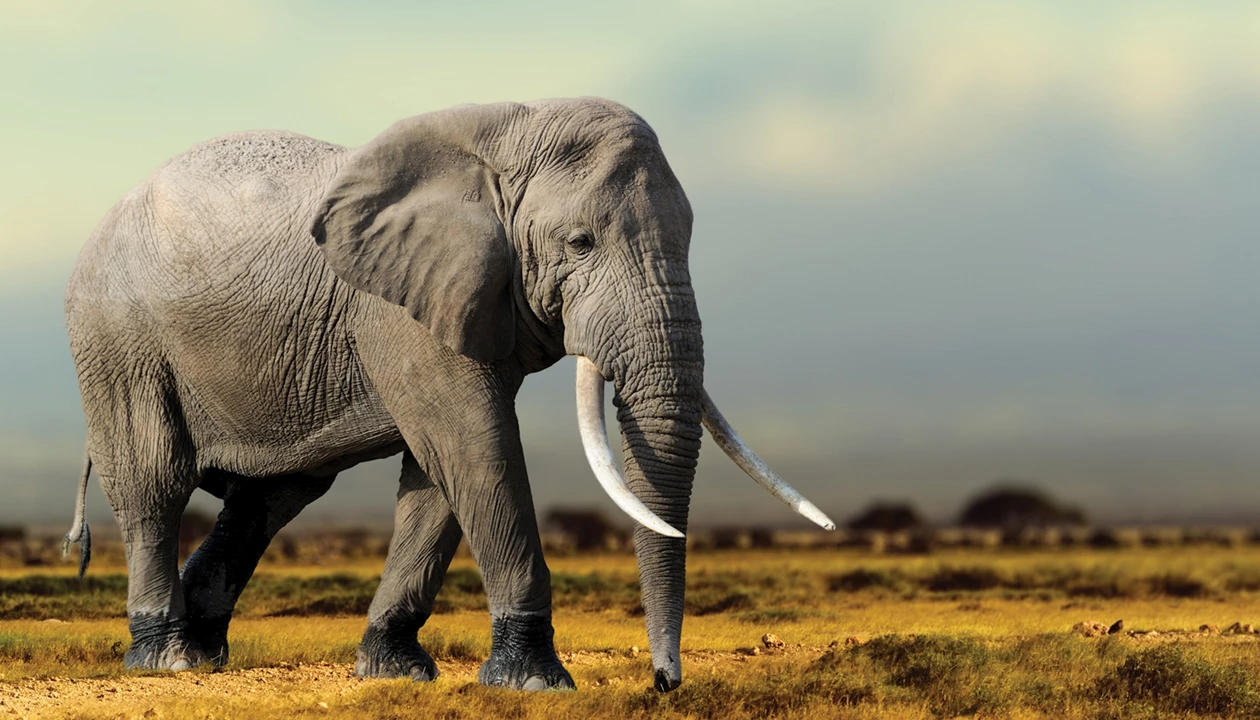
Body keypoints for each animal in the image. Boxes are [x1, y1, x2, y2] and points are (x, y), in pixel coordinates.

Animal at [60, 97, 834, 692]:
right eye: (580, 242)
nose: (664, 682)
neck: (510, 131)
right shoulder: (401, 307)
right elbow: (474, 443)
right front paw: (534, 682)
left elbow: (439, 473)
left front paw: (393, 671)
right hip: (117, 338)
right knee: (155, 482)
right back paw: (168, 659)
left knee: (271, 497)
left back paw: (205, 650)